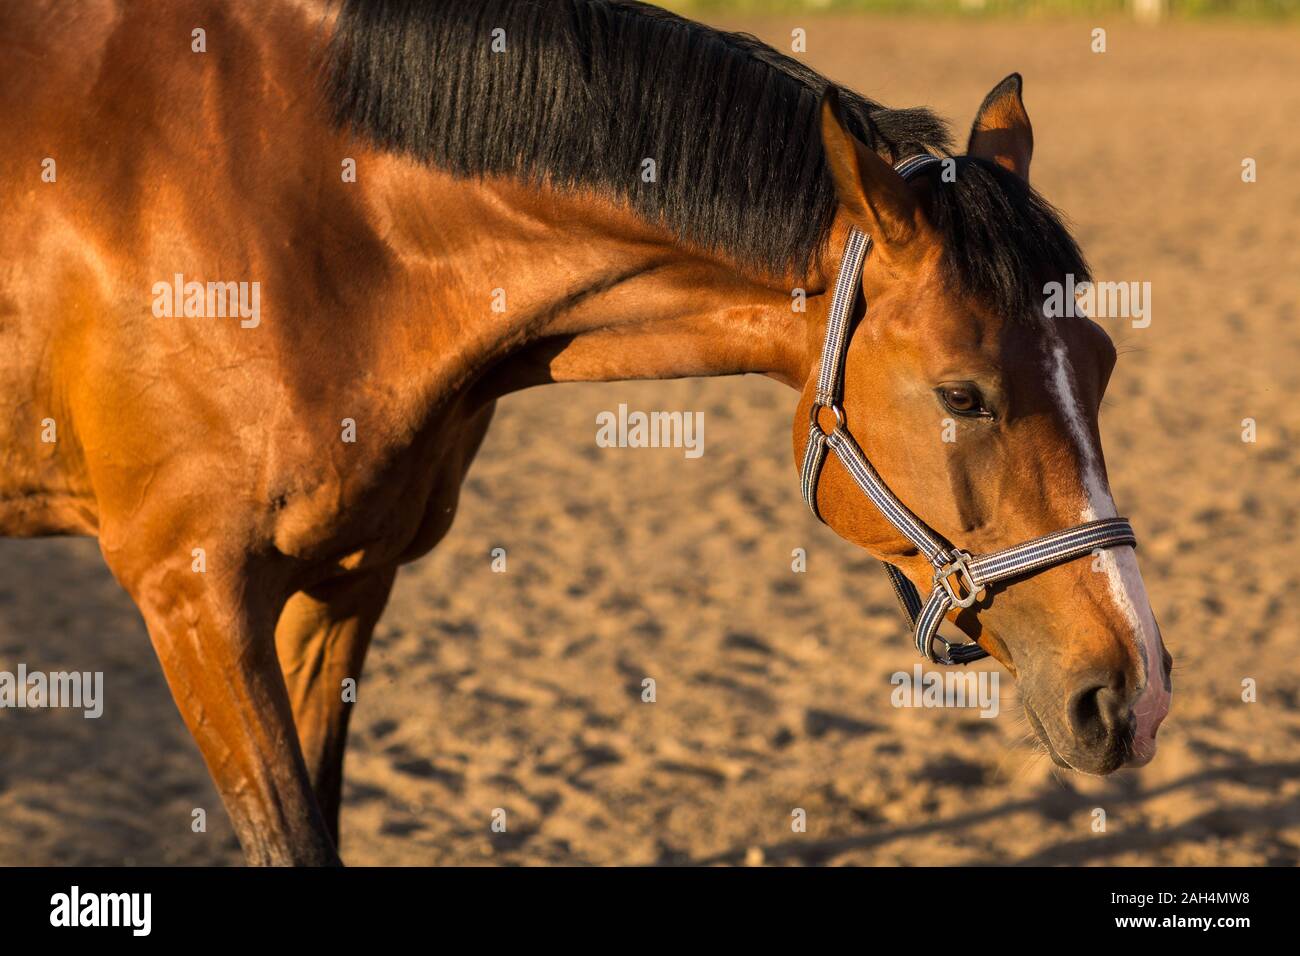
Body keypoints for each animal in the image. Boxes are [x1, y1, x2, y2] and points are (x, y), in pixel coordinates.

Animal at [0, 0, 1172, 866]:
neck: (293, 212)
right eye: (963, 396)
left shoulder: (344, 585)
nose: (1135, 689)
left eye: (1103, 363)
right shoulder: (192, 598)